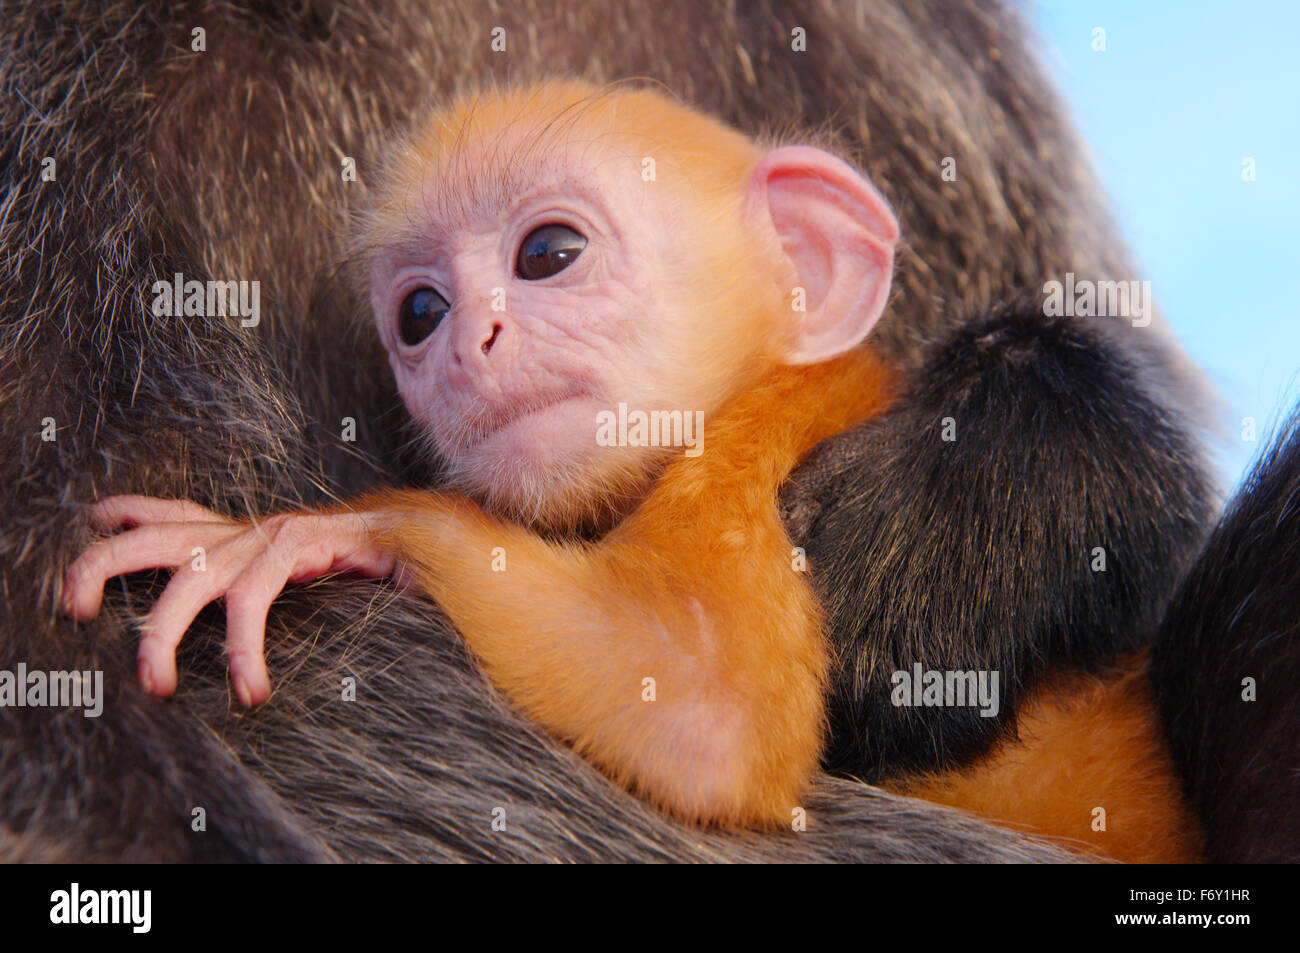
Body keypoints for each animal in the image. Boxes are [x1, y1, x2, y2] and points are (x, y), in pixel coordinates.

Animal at [3, 0, 1286, 863]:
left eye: (549, 253)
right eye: (417, 313)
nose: (470, 344)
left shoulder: (745, 459)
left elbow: (700, 706)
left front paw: (311, 533)